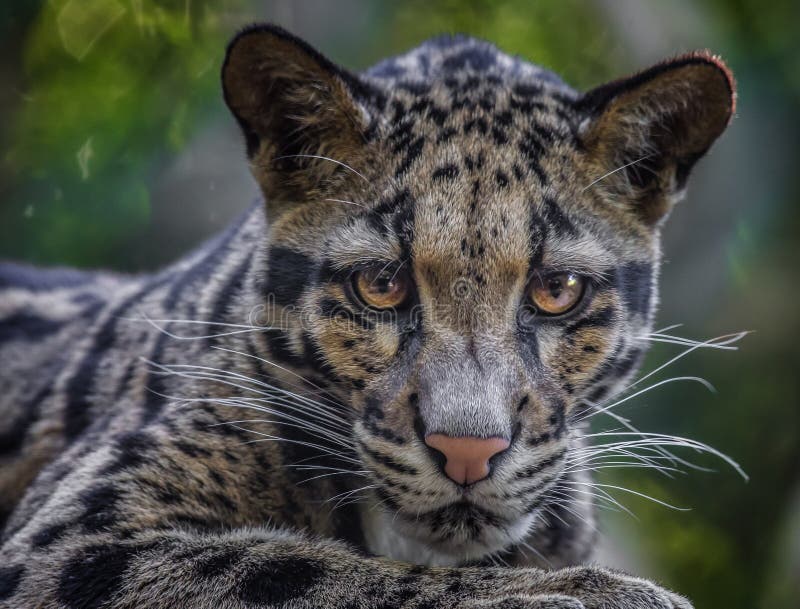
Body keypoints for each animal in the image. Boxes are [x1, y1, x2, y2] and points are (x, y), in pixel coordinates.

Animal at [0, 23, 735, 609]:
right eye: (381, 285)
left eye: (558, 289)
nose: (468, 451)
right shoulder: (70, 538)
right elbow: (299, 568)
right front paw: (584, 592)